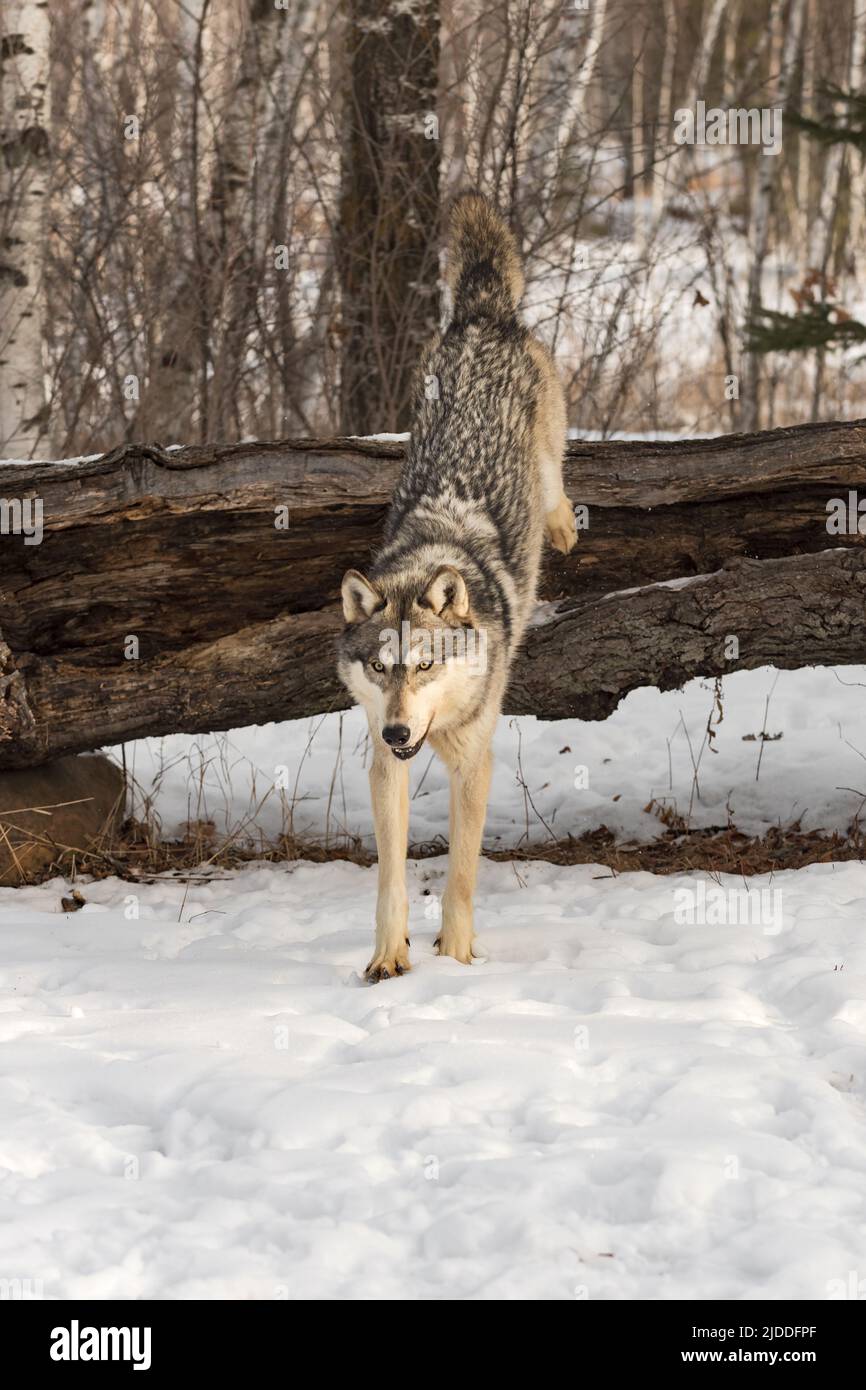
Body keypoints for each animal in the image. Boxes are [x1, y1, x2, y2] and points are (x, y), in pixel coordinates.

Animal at [337, 193, 577, 982]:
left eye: (426, 666)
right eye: (382, 667)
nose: (398, 727)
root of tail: (478, 313)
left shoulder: (476, 762)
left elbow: (464, 871)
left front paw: (459, 953)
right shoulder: (383, 766)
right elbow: (390, 876)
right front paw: (389, 956)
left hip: (547, 440)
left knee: (555, 473)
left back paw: (562, 523)